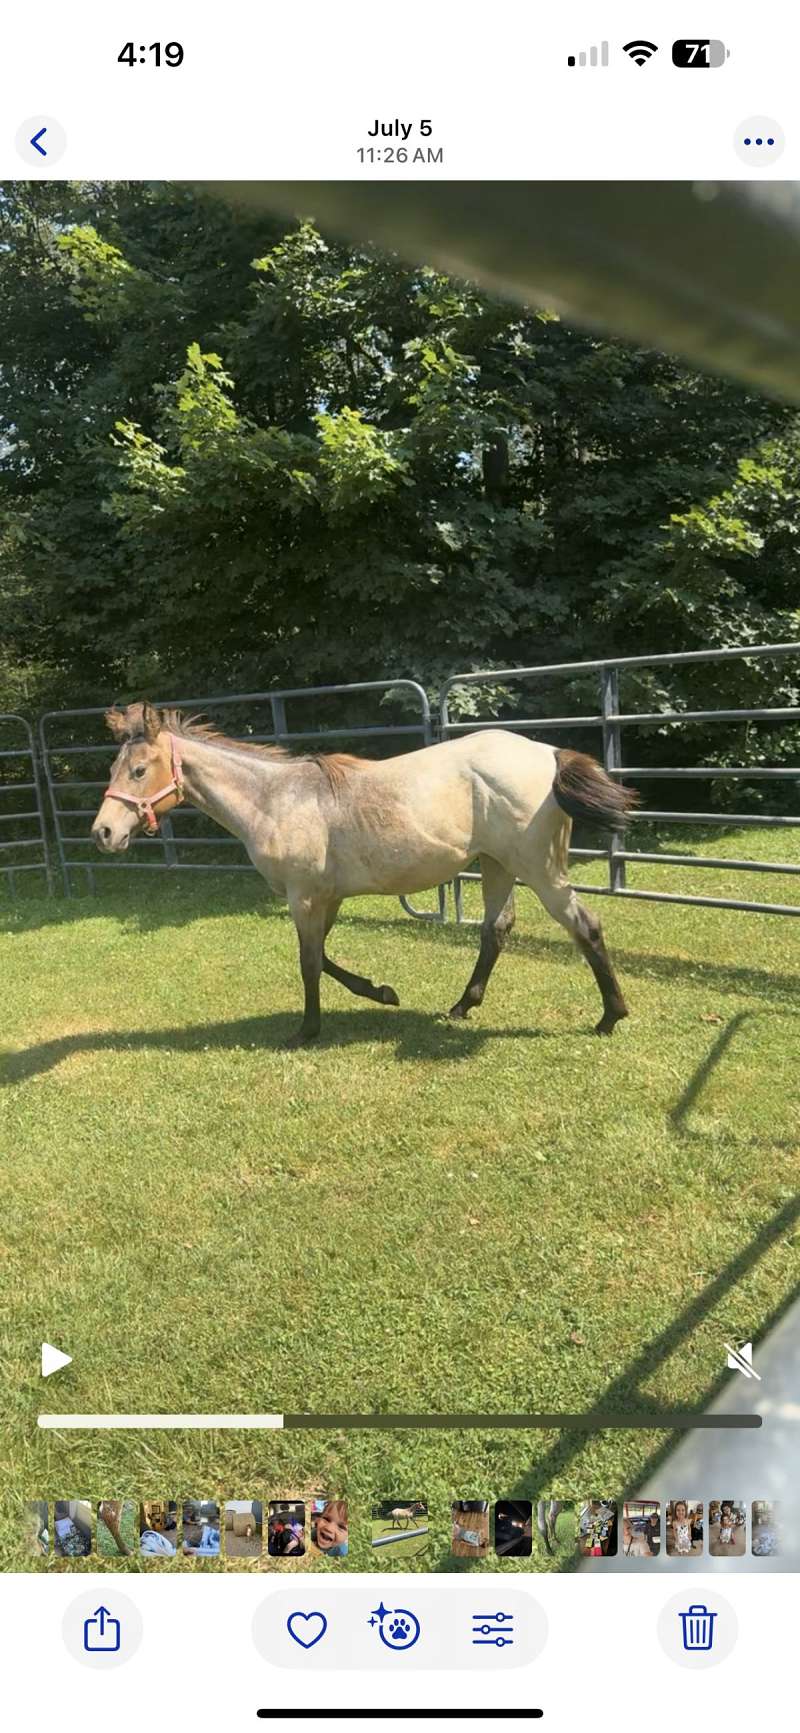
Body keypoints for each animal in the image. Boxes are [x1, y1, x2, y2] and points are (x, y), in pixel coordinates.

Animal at [91, 700, 636, 1046]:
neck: (275, 799)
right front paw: (382, 992)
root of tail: (548, 754)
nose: (103, 833)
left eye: (138, 770)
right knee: (496, 930)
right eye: (114, 769)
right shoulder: (326, 898)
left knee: (585, 926)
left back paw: (611, 1017)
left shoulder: (303, 897)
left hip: (538, 867)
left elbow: (309, 963)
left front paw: (306, 1031)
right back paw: (461, 1007)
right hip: (496, 864)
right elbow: (326, 959)